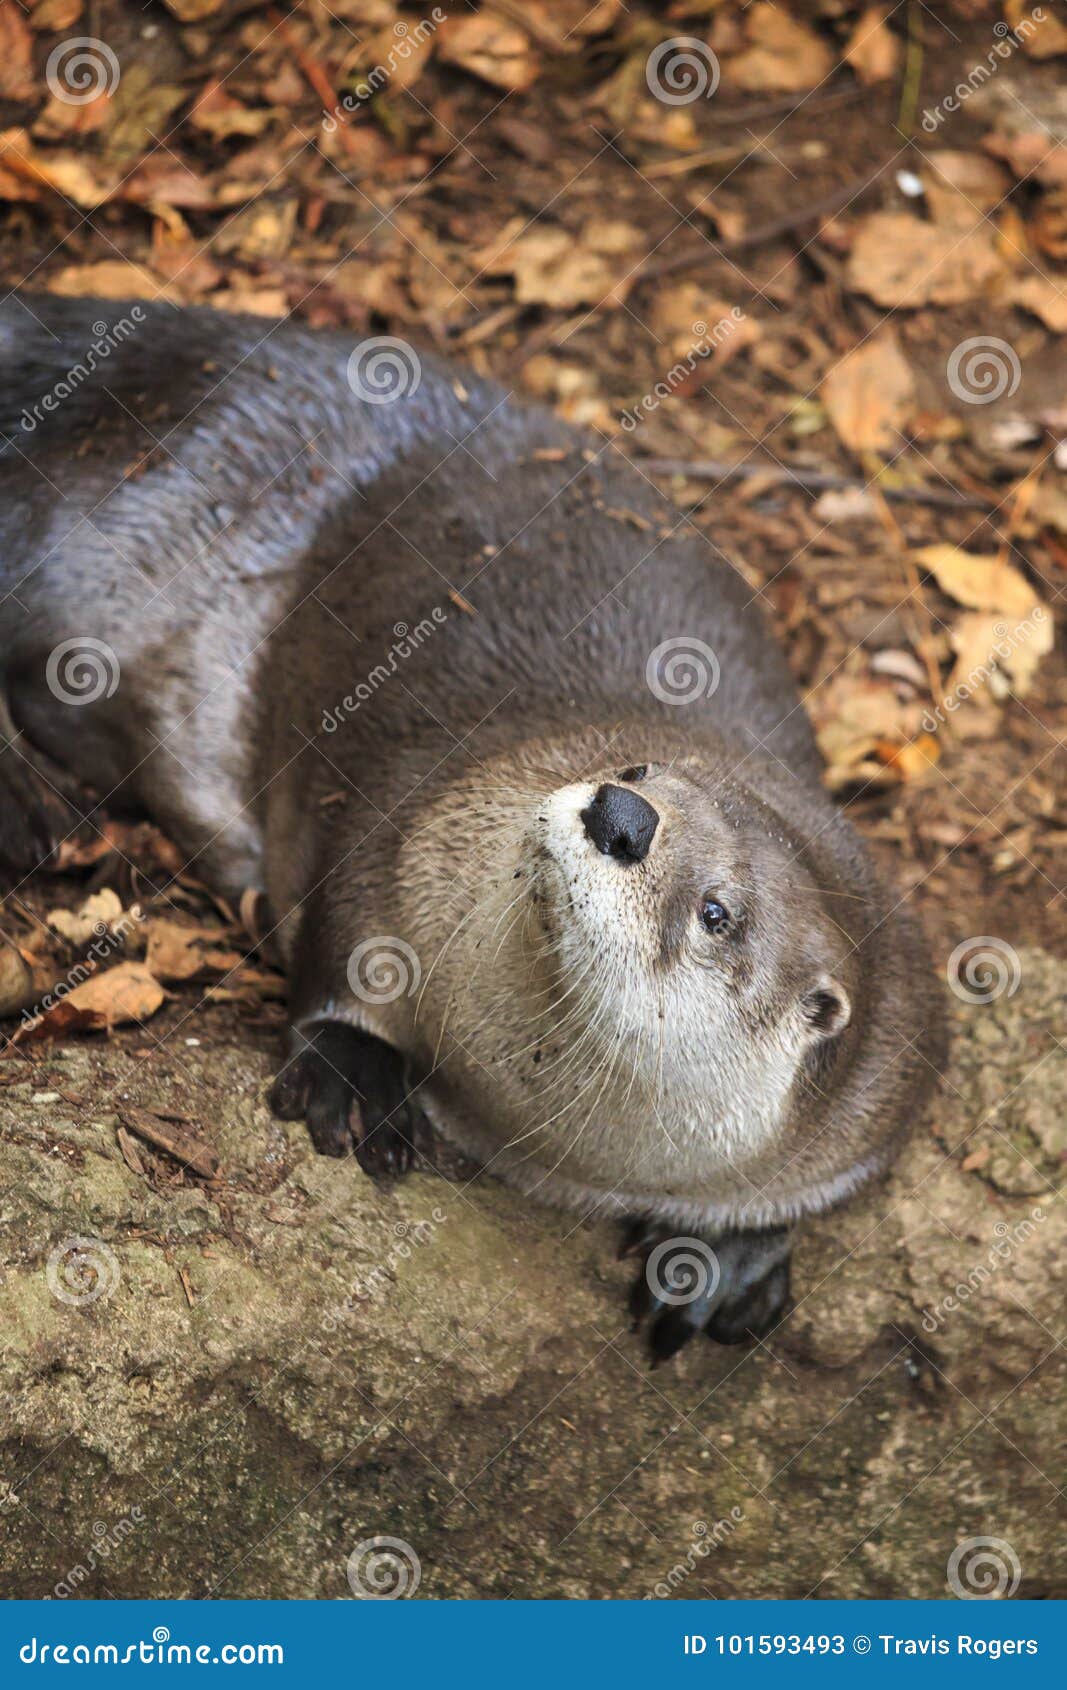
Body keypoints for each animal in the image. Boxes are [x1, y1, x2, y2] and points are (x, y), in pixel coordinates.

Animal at [0, 293, 943, 1361]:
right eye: (635, 771)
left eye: (716, 913)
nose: (622, 814)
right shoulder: (408, 824)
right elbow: (343, 943)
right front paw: (353, 1080)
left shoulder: (874, 1099)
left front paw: (723, 1261)